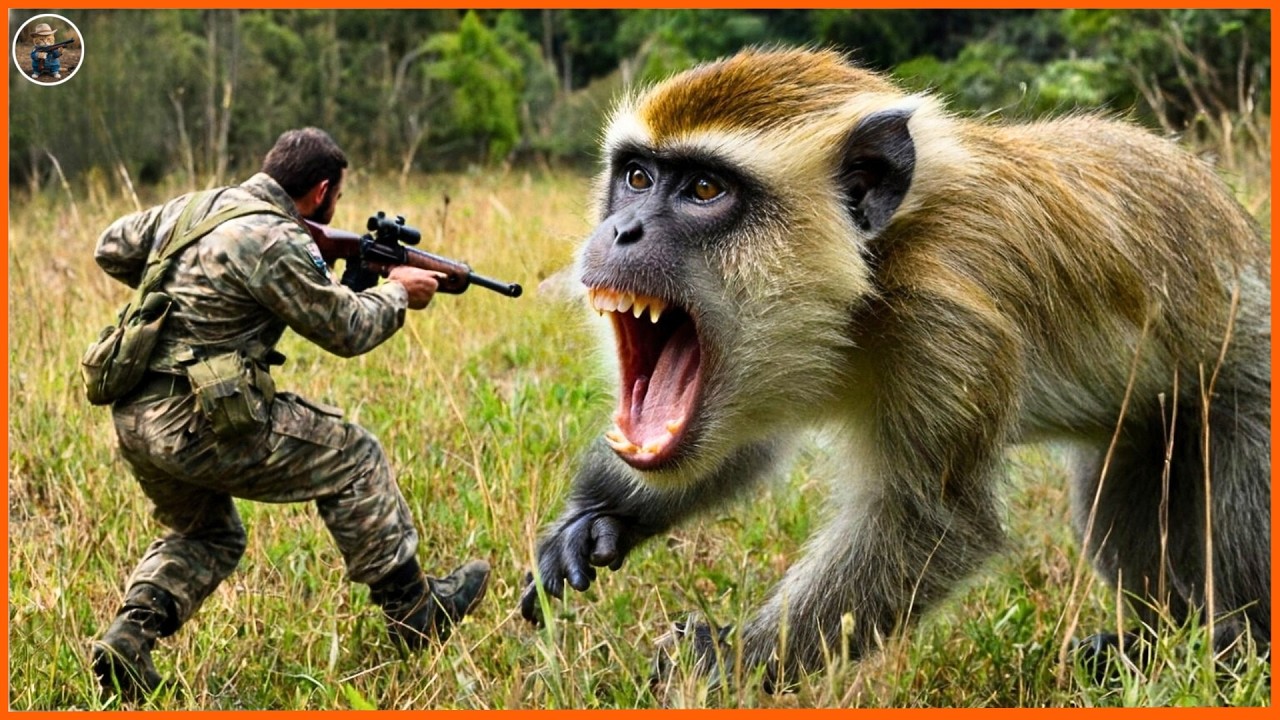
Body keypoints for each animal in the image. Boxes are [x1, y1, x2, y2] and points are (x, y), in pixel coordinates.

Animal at [519, 47, 1271, 687]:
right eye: (637, 177)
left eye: (705, 188)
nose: (621, 230)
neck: (871, 272)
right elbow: (749, 446)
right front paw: (605, 516)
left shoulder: (947, 321)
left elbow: (931, 525)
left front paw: (732, 662)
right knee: (1116, 491)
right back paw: (1157, 642)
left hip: (1249, 378)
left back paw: (1229, 657)